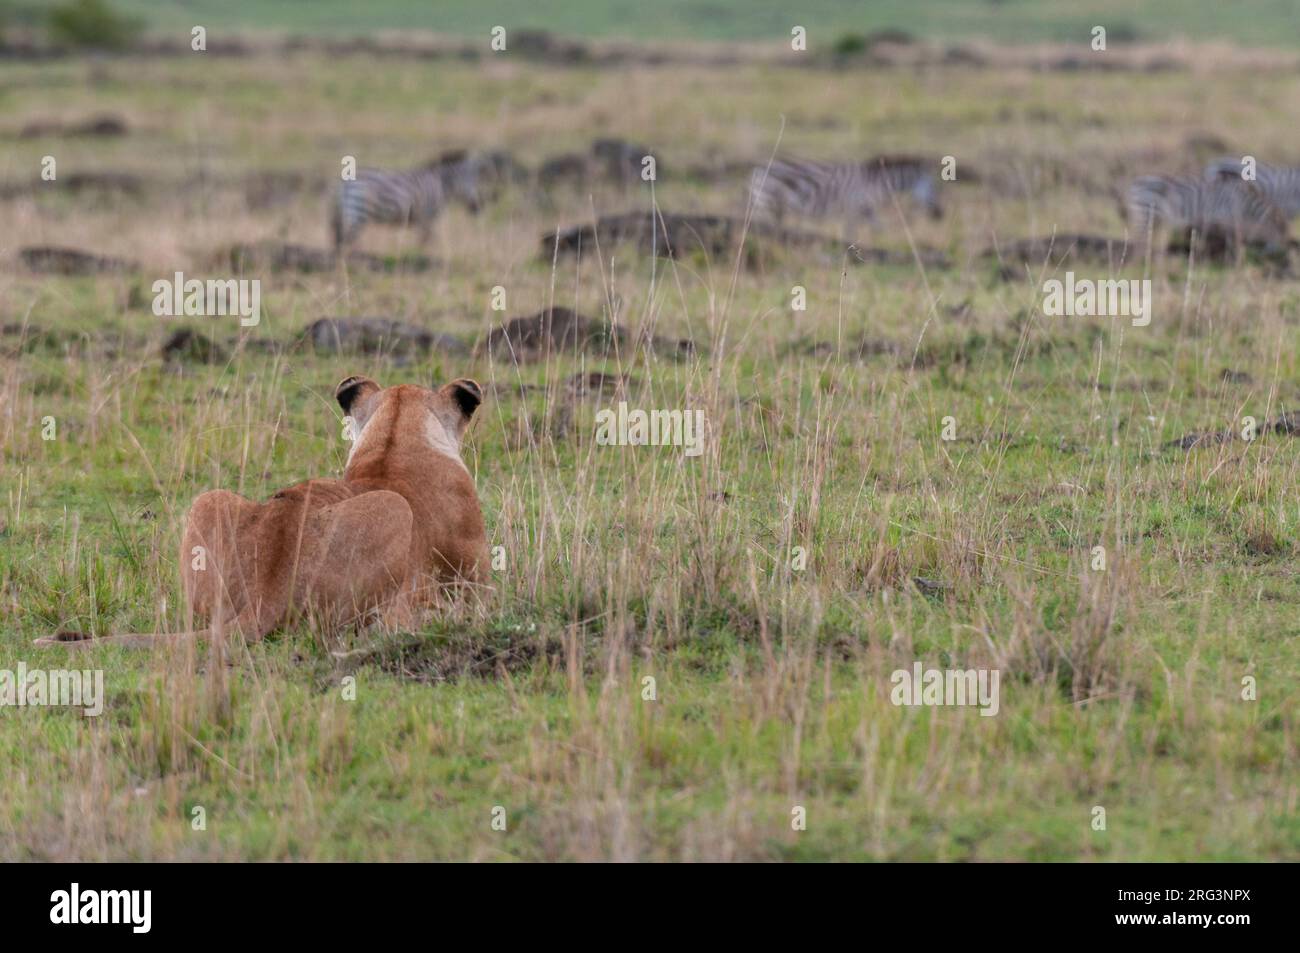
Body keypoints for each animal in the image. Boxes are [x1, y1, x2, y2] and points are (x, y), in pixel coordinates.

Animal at [331, 152, 488, 252]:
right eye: (472, 180)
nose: (477, 207)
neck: (440, 184)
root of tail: (343, 183)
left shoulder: (422, 220)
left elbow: (428, 240)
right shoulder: (426, 217)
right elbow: (426, 240)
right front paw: (420, 256)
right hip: (358, 213)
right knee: (345, 242)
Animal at [747, 155, 943, 232]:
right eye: (934, 188)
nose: (939, 214)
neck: (876, 182)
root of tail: (758, 168)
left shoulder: (866, 209)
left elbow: (878, 228)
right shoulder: (856, 206)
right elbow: (852, 232)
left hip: (773, 206)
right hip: (766, 201)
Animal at [1122, 175, 1289, 250]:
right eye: (1281, 234)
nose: (1279, 253)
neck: (1241, 203)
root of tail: (1135, 183)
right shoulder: (1223, 216)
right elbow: (1228, 239)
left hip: (1150, 217)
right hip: (1145, 212)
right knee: (1138, 241)